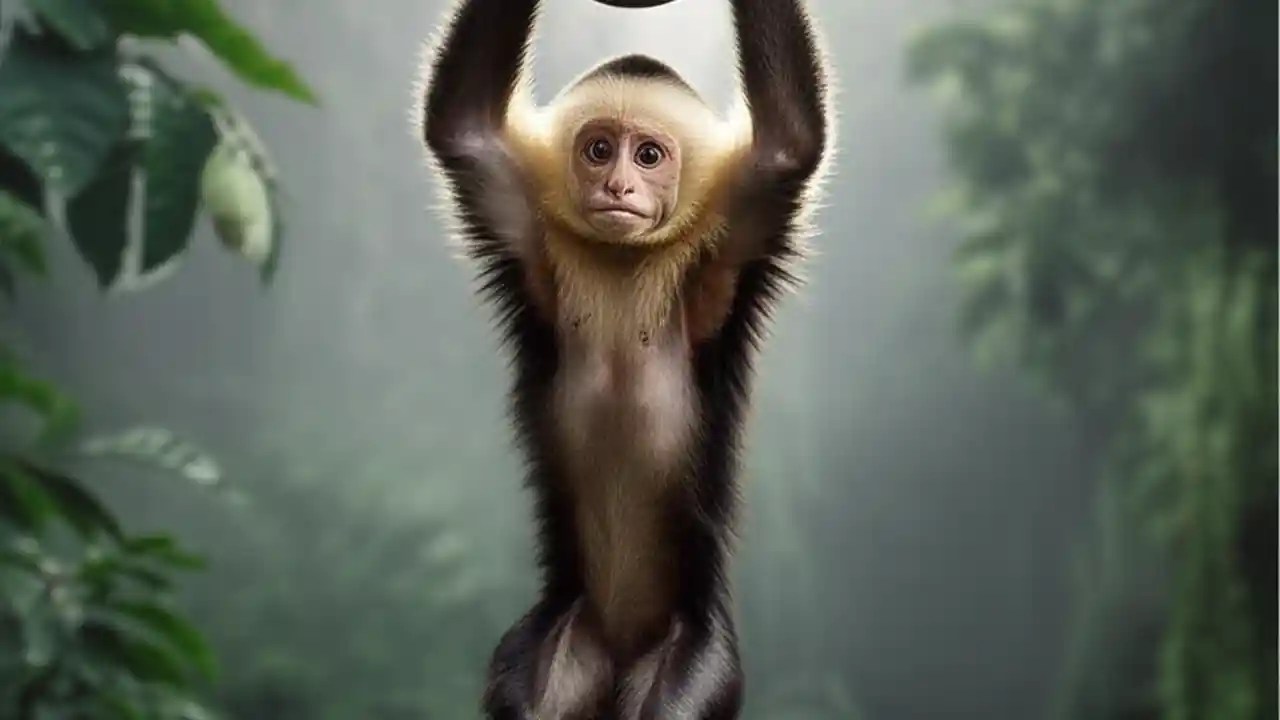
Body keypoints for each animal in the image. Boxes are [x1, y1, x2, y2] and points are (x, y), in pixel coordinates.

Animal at [418, 0, 830, 717]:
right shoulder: (525, 223)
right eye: (599, 150)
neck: (623, 254)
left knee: (673, 699)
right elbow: (462, 127)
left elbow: (789, 143)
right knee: (531, 697)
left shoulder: (734, 233)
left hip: (697, 650)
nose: (617, 185)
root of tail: (618, 646)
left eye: (648, 155)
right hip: (567, 630)